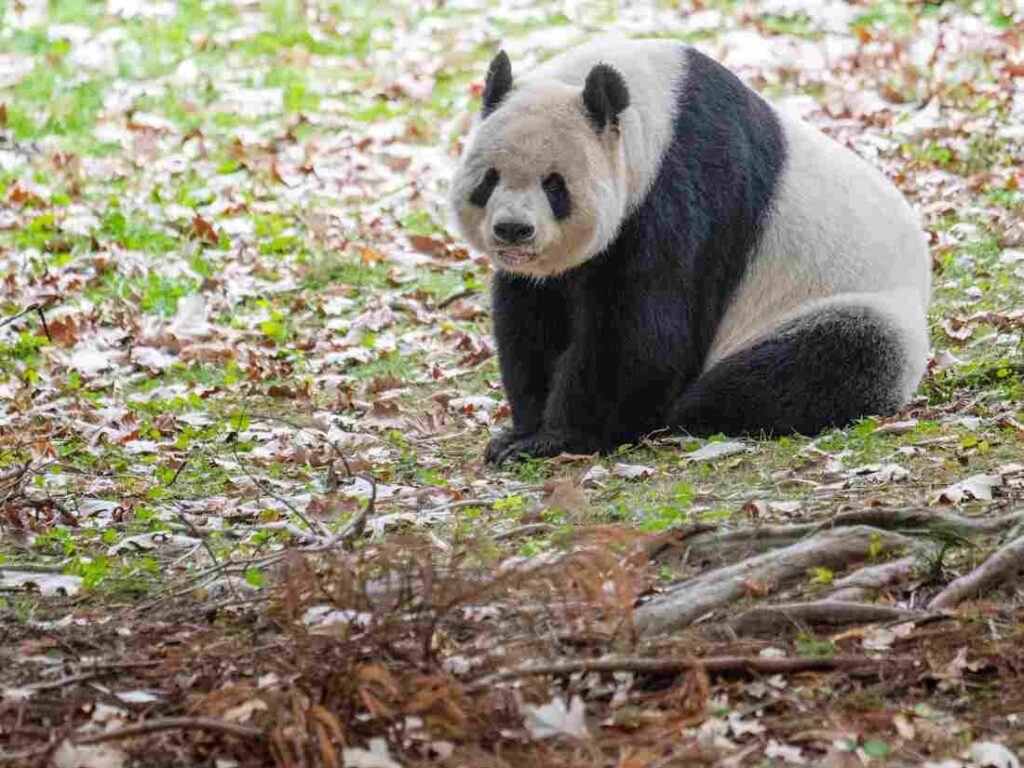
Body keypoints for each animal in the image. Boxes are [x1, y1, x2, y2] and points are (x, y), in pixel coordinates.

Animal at [447, 39, 931, 465]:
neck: (653, 114)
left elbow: (641, 332)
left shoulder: (680, 196)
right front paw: (520, 432)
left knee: (825, 359)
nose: (513, 230)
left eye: (554, 186)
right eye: (490, 179)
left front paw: (559, 437)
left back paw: (692, 409)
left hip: (847, 305)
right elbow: (533, 318)